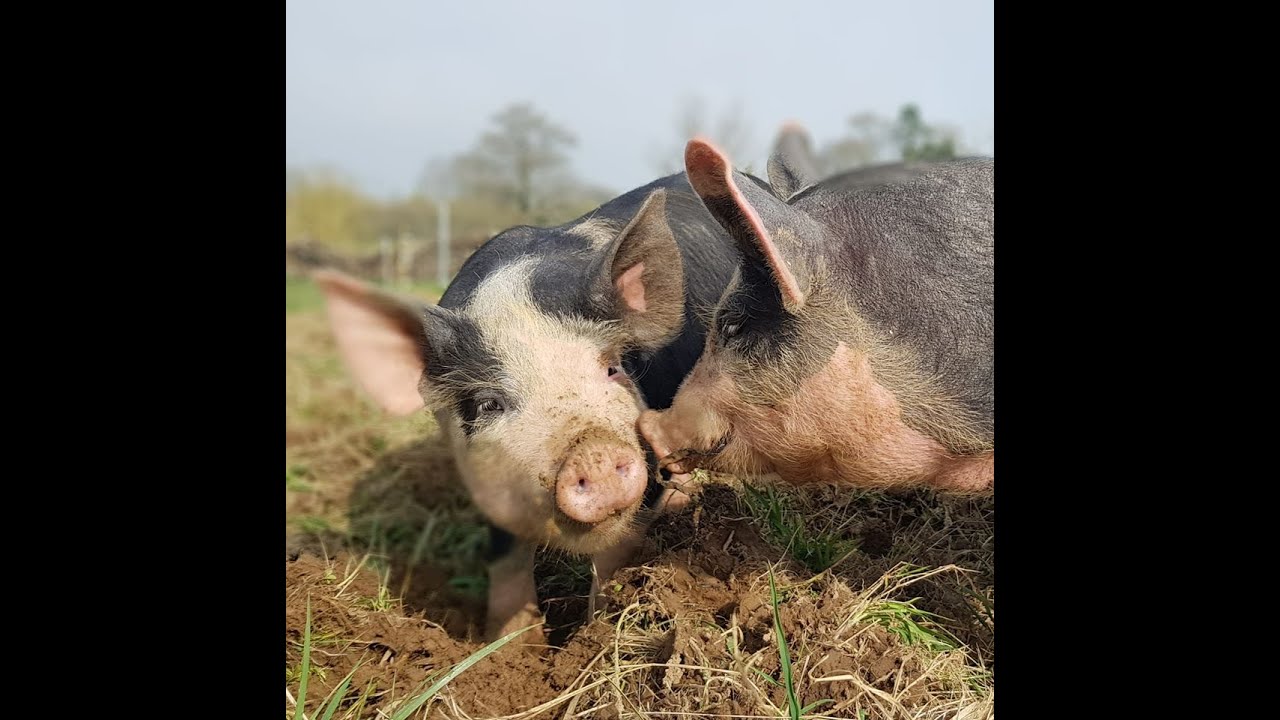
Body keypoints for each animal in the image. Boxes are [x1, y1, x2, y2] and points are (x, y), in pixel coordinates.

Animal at [314, 173, 744, 640]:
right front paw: (508, 647)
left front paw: (594, 635)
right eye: (488, 403)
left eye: (612, 368)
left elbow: (615, 554)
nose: (593, 453)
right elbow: (506, 564)